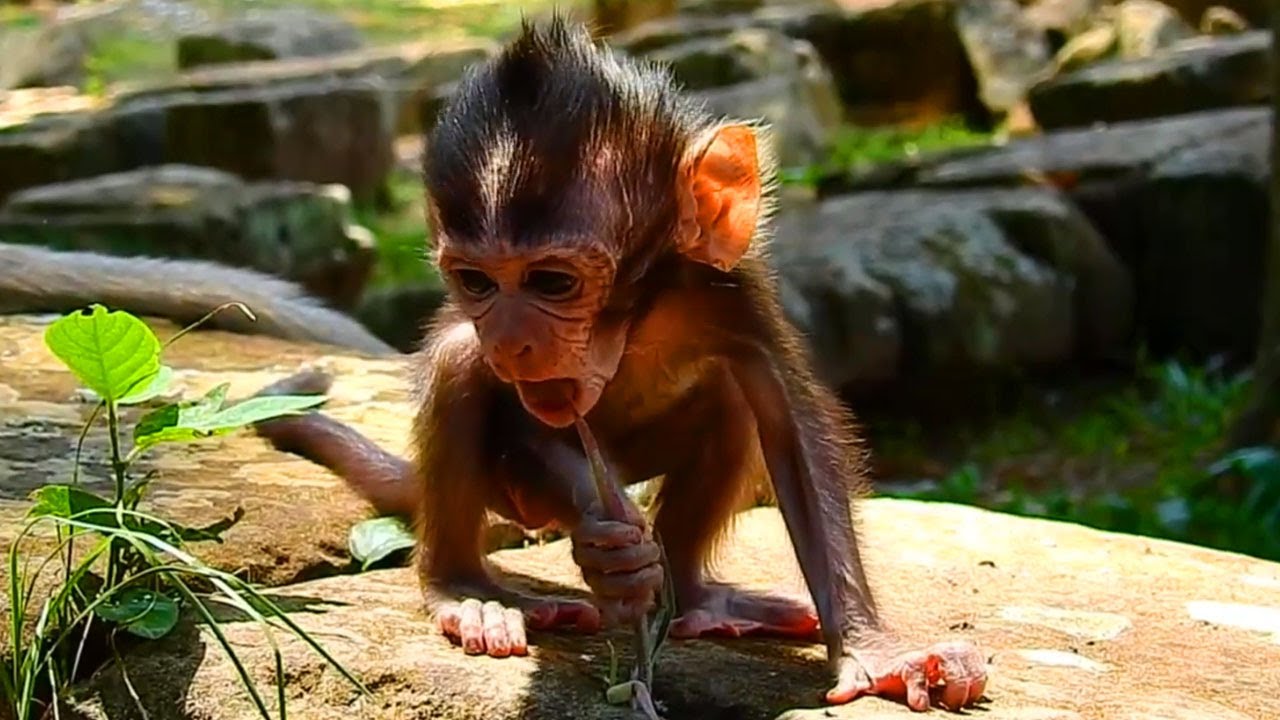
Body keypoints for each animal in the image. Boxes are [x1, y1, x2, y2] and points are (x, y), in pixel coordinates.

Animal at [254, 17, 987, 713]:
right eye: (476, 282)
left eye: (552, 283)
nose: (510, 341)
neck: (636, 317)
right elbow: (520, 416)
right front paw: (612, 553)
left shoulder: (727, 284)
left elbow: (790, 426)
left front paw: (874, 648)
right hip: (513, 493)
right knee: (460, 364)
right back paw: (466, 589)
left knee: (729, 399)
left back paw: (696, 597)